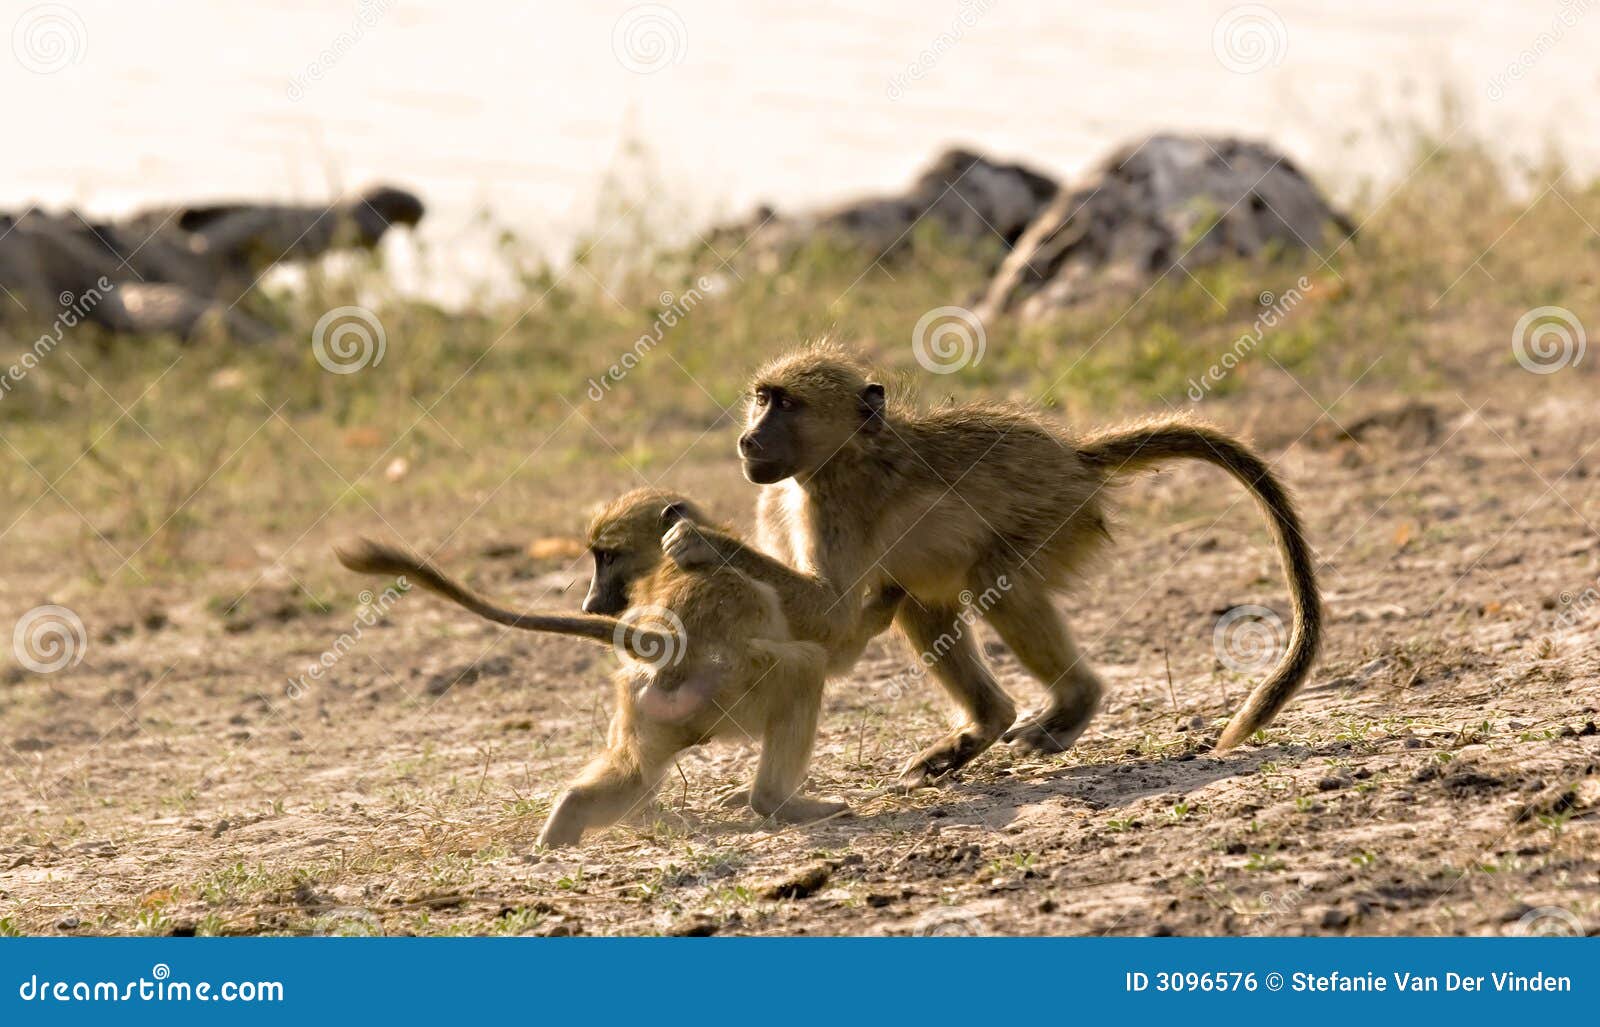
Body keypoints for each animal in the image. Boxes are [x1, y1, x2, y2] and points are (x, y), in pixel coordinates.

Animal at [335, 497, 849, 848]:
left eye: (606, 558)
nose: (588, 601)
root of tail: (672, 645)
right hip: (735, 686)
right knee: (805, 668)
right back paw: (777, 802)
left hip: (654, 704)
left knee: (633, 774)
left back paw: (564, 825)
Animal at [660, 343, 1322, 789]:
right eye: (762, 399)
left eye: (788, 404)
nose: (749, 440)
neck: (844, 454)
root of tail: (1072, 456)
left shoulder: (835, 505)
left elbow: (834, 614)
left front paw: (698, 540)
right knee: (922, 602)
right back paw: (982, 727)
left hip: (1057, 517)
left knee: (995, 586)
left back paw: (1073, 704)